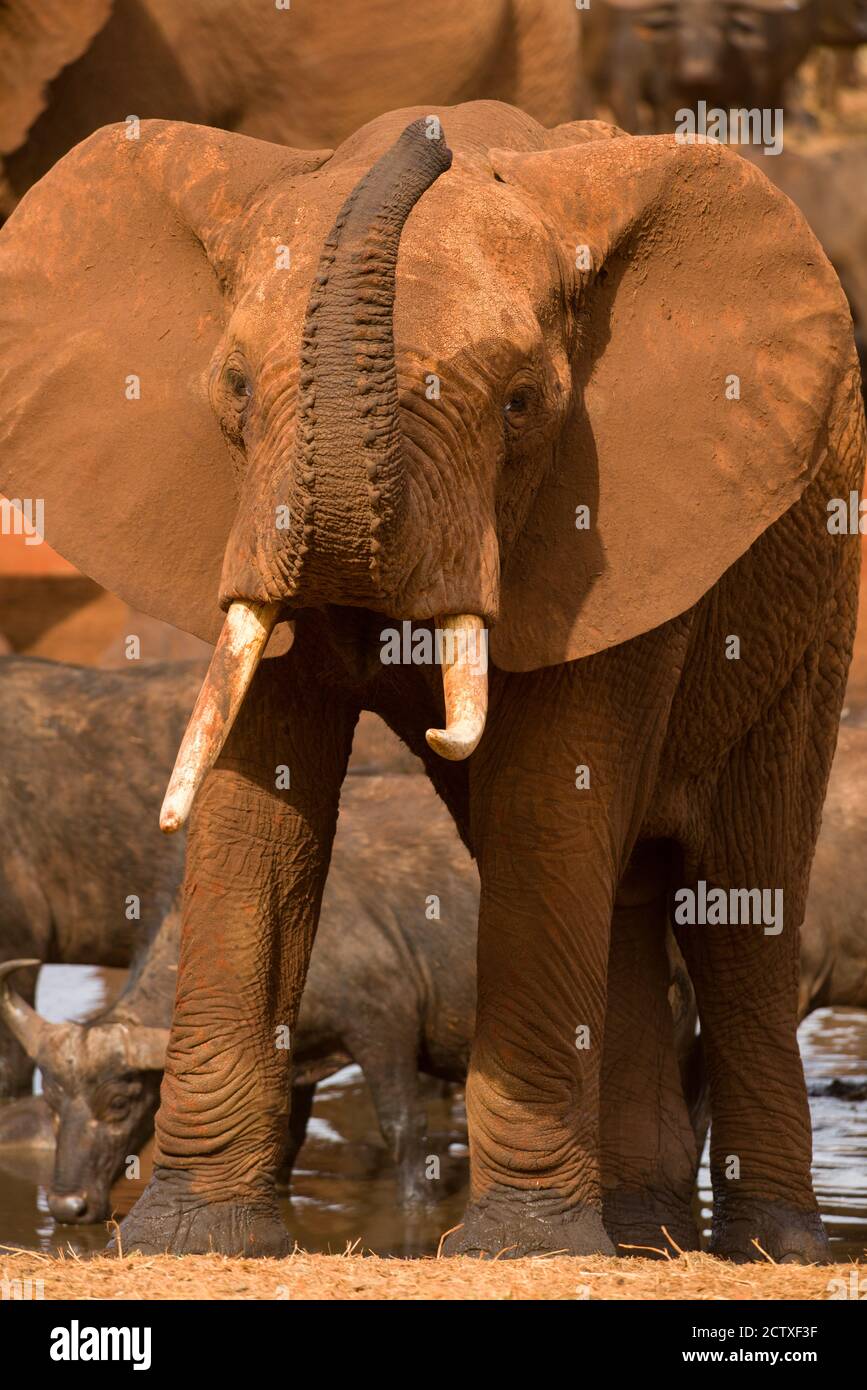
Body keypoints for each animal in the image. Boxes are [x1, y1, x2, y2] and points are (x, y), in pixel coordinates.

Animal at [0, 101, 862, 1263]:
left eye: (522, 402)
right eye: (234, 388)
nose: (430, 133)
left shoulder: (620, 525)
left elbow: (546, 804)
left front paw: (524, 1251)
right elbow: (252, 803)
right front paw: (193, 1239)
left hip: (814, 593)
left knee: (736, 906)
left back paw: (771, 1248)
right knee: (630, 894)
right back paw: (645, 1238)